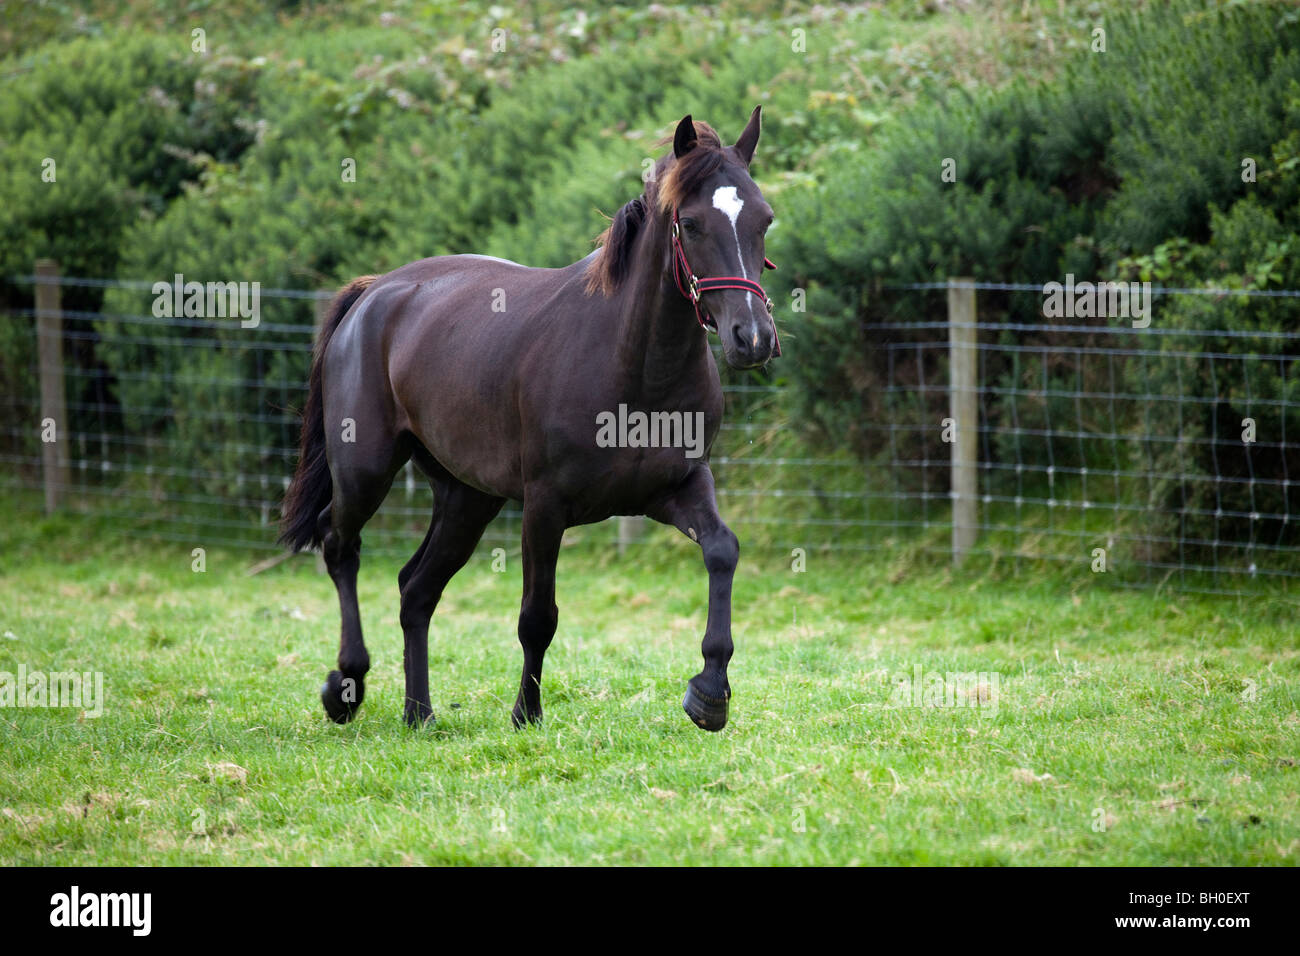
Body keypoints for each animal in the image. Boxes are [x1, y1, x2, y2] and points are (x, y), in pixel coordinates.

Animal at [279, 107, 780, 733]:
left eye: (764, 219)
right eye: (690, 223)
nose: (753, 338)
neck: (632, 366)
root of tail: (375, 294)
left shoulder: (677, 488)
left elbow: (722, 549)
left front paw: (709, 693)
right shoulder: (545, 506)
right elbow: (537, 616)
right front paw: (526, 714)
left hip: (467, 499)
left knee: (415, 589)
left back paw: (419, 714)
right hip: (364, 472)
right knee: (339, 546)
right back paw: (345, 686)